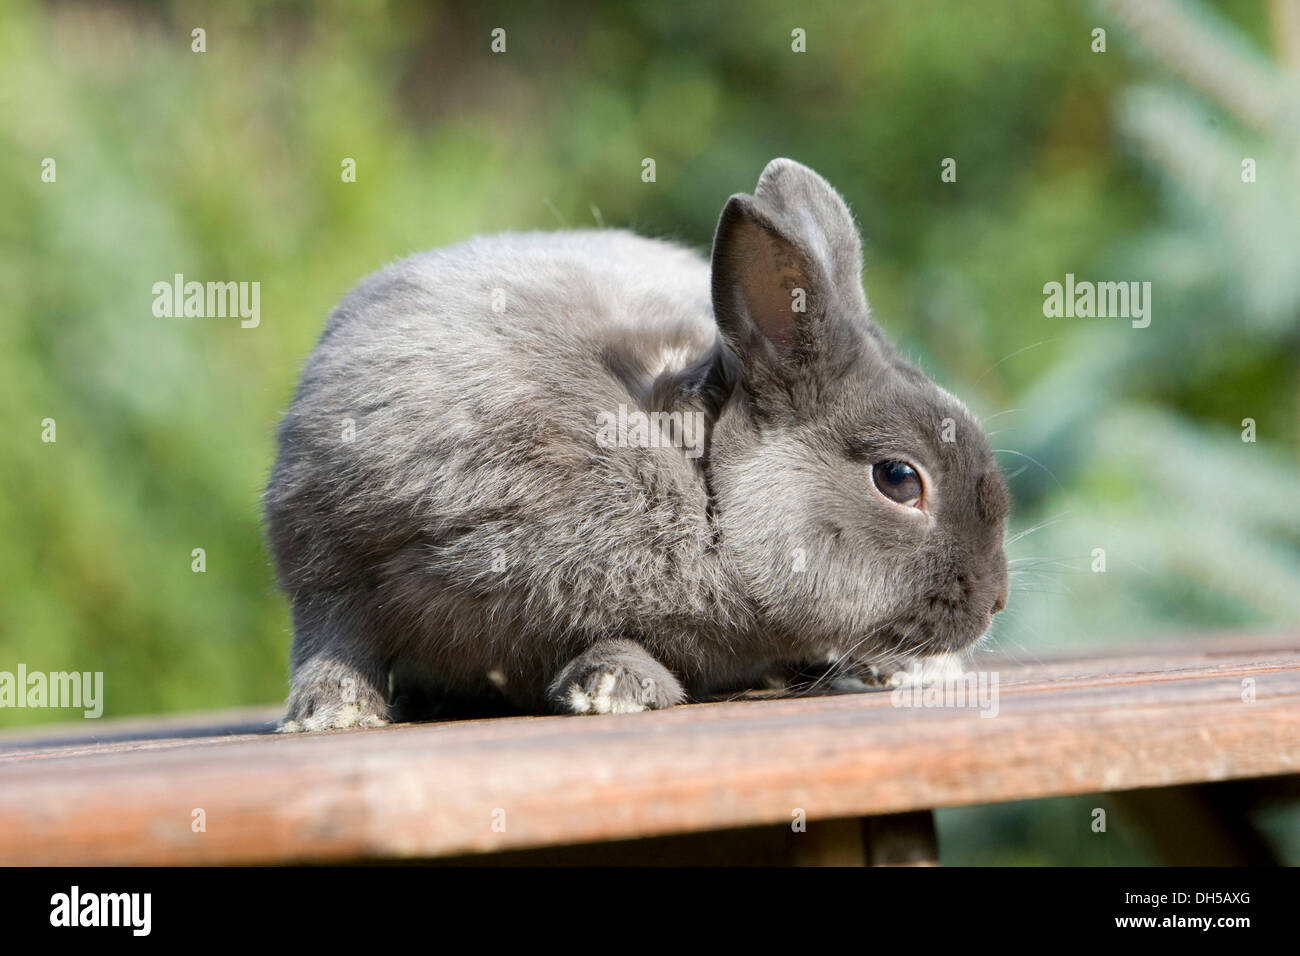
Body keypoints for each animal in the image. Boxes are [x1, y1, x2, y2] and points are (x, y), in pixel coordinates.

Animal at [265, 158, 1010, 731]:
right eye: (899, 478)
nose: (994, 600)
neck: (700, 488)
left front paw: (611, 687)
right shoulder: (335, 555)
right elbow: (335, 635)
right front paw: (329, 712)